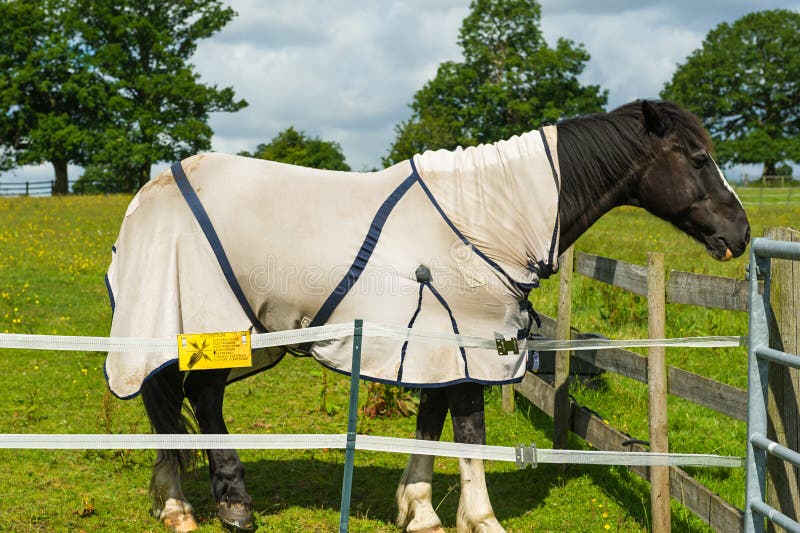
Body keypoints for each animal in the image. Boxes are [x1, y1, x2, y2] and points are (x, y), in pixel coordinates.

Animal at [104, 100, 749, 532]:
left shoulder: (438, 344)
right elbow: (469, 431)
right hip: (208, 324)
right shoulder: (466, 340)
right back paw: (216, 508)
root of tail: (152, 189)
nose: (740, 234)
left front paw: (418, 511)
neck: (490, 219)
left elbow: (432, 424)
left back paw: (187, 503)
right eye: (699, 157)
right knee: (194, 399)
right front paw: (481, 519)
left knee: (187, 400)